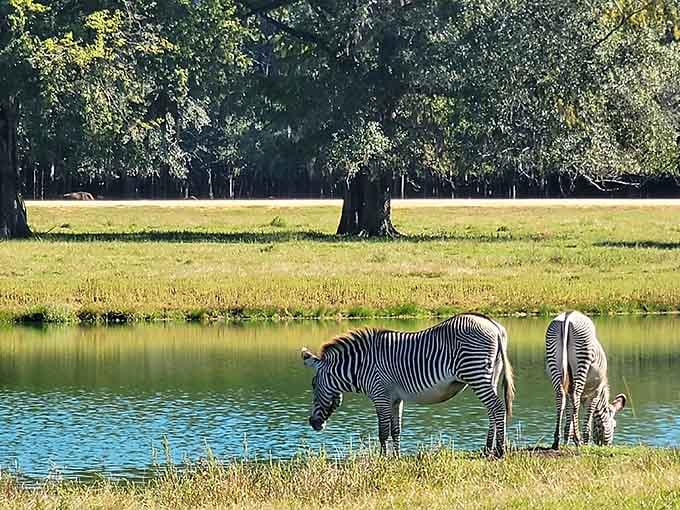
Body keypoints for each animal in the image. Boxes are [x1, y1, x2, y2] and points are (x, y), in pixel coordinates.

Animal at [300, 313, 515, 457]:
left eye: (313, 385)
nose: (313, 423)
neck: (362, 366)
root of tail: (493, 325)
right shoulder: (395, 399)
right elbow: (396, 429)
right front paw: (396, 457)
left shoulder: (380, 396)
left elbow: (383, 431)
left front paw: (382, 459)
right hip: (491, 375)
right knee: (492, 410)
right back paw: (487, 450)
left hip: (476, 373)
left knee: (497, 407)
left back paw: (500, 451)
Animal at [545, 311, 627, 449]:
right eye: (614, 426)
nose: (607, 446)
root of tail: (568, 315)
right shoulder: (595, 394)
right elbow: (587, 421)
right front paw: (584, 442)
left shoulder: (569, 391)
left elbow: (569, 420)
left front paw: (566, 441)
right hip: (583, 356)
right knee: (575, 397)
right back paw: (578, 440)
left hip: (554, 360)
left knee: (560, 396)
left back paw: (556, 441)